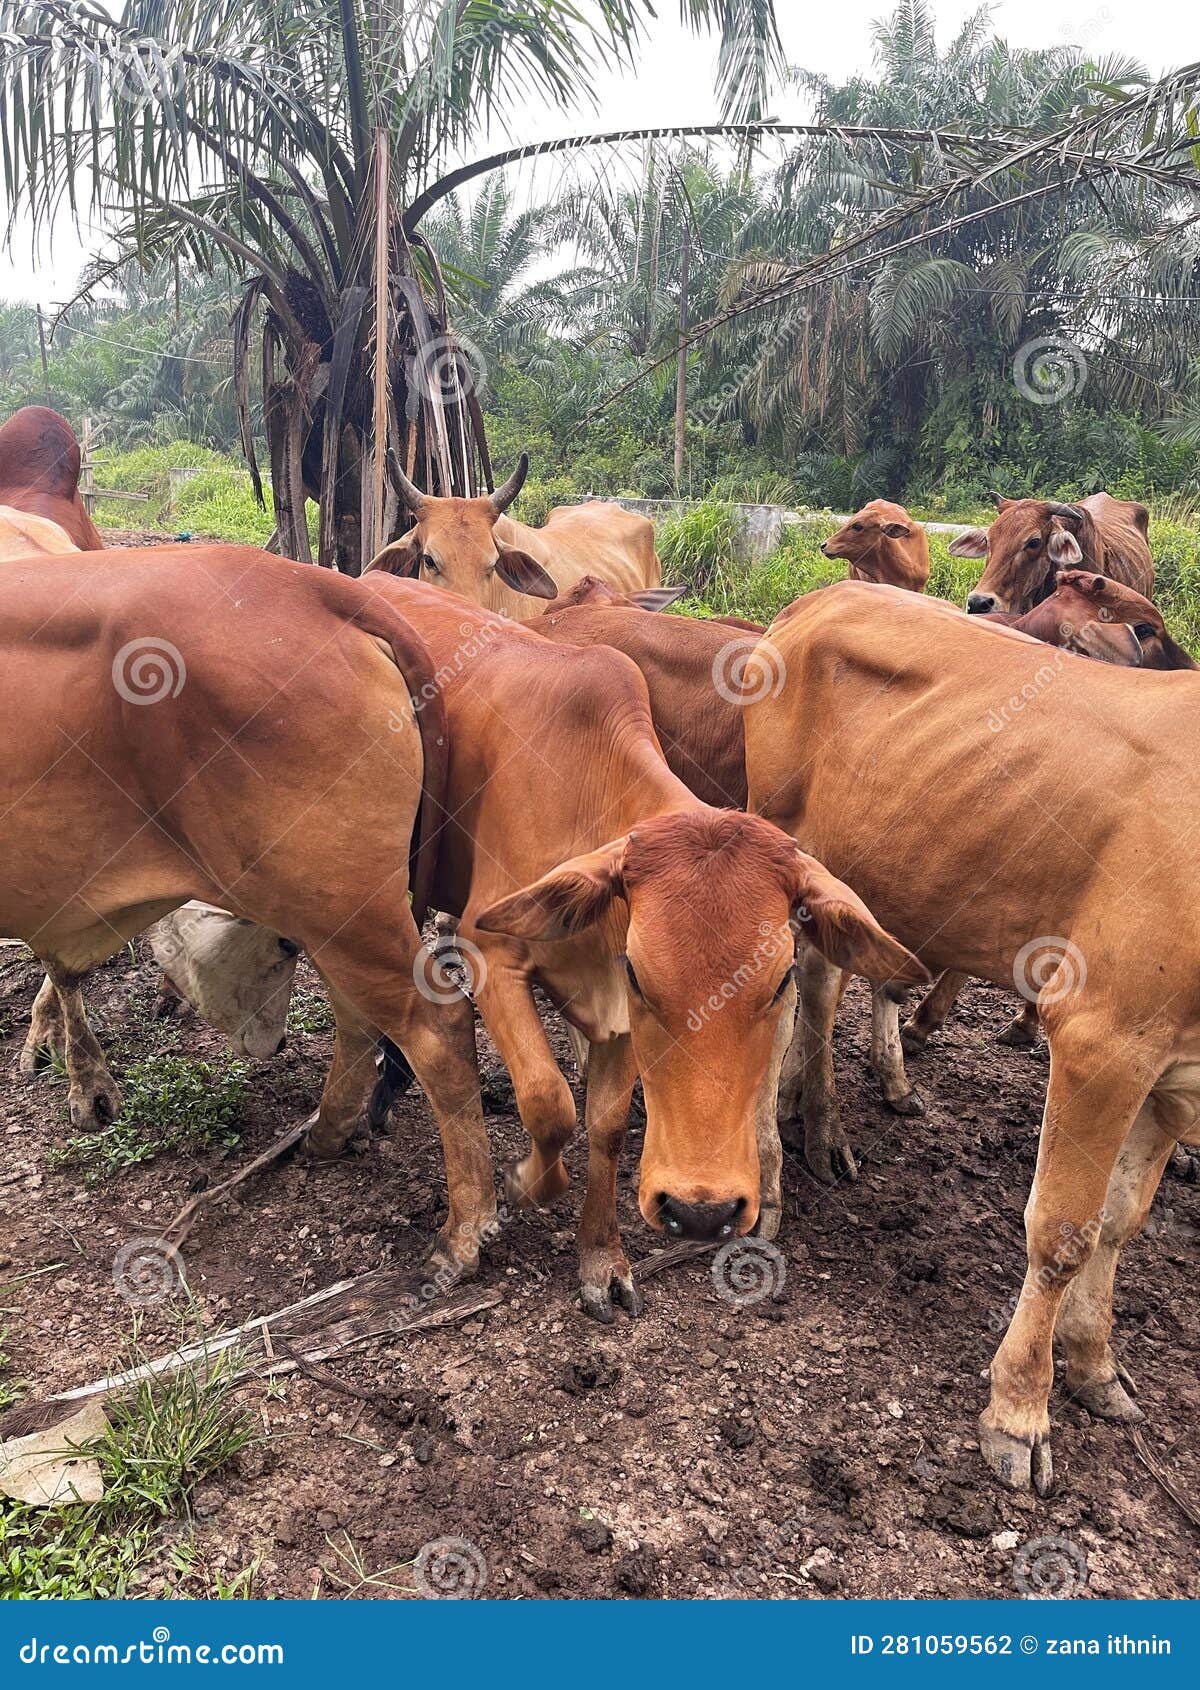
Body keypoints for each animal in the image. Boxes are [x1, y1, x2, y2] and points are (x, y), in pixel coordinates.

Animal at [0, 545, 497, 1287]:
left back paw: (464, 1232)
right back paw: (328, 1133)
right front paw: (84, 1082)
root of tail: (313, 584)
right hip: (334, 913)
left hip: (344, 910)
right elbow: (62, 978)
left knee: (435, 1030)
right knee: (361, 1019)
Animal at [352, 577, 925, 1317]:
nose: (703, 1211)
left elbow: (605, 1128)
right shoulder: (496, 957)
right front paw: (521, 1183)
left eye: (779, 983)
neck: (583, 792)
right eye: (642, 973)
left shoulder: (617, 1022)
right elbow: (548, 1103)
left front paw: (603, 1262)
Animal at [744, 579, 1200, 1490]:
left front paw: (1094, 1363)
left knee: (817, 983)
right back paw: (772, 1170)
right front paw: (1020, 1411)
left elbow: (1122, 1220)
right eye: (1142, 631)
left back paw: (818, 1127)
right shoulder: (1104, 1037)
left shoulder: (1175, 1072)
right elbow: (1063, 1233)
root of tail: (822, 596)